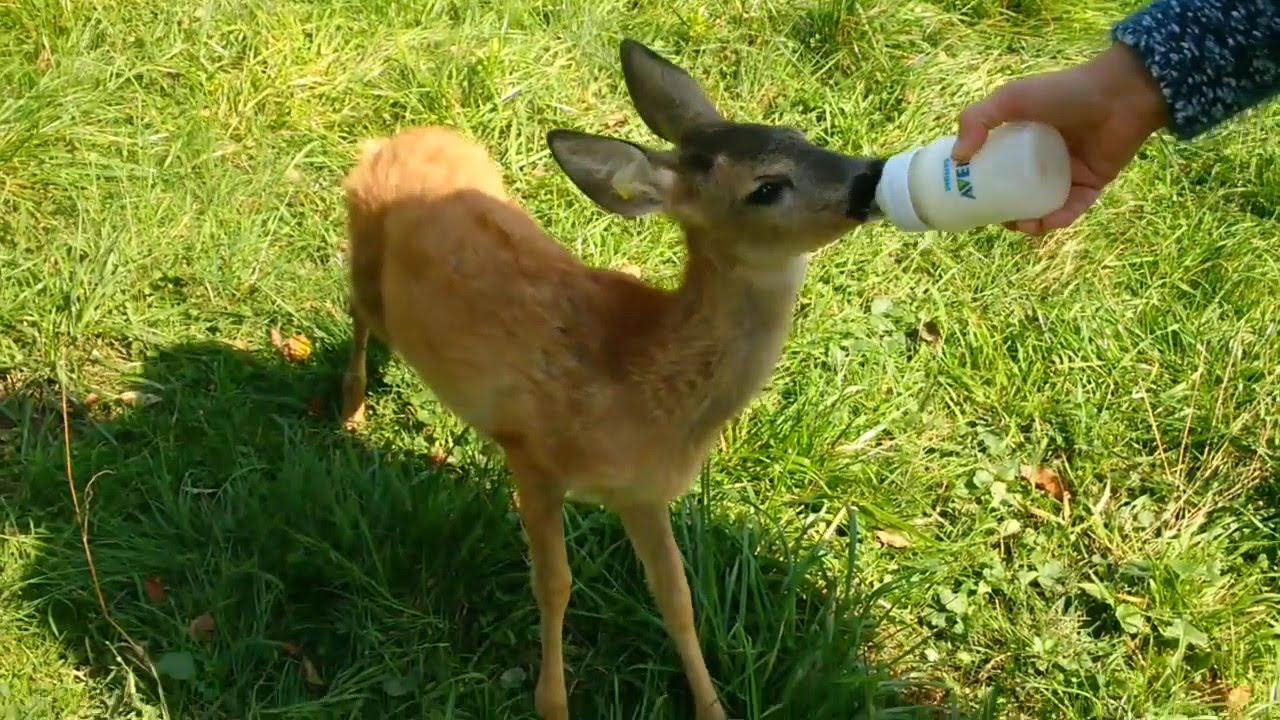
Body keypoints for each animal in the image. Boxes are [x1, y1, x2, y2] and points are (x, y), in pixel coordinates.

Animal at [338, 37, 885, 720]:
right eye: (765, 188)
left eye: (799, 133)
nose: (869, 176)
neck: (642, 380)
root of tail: (388, 139)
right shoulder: (532, 453)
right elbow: (555, 583)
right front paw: (553, 704)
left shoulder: (644, 492)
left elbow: (677, 597)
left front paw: (712, 706)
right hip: (365, 260)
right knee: (357, 311)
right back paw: (351, 408)